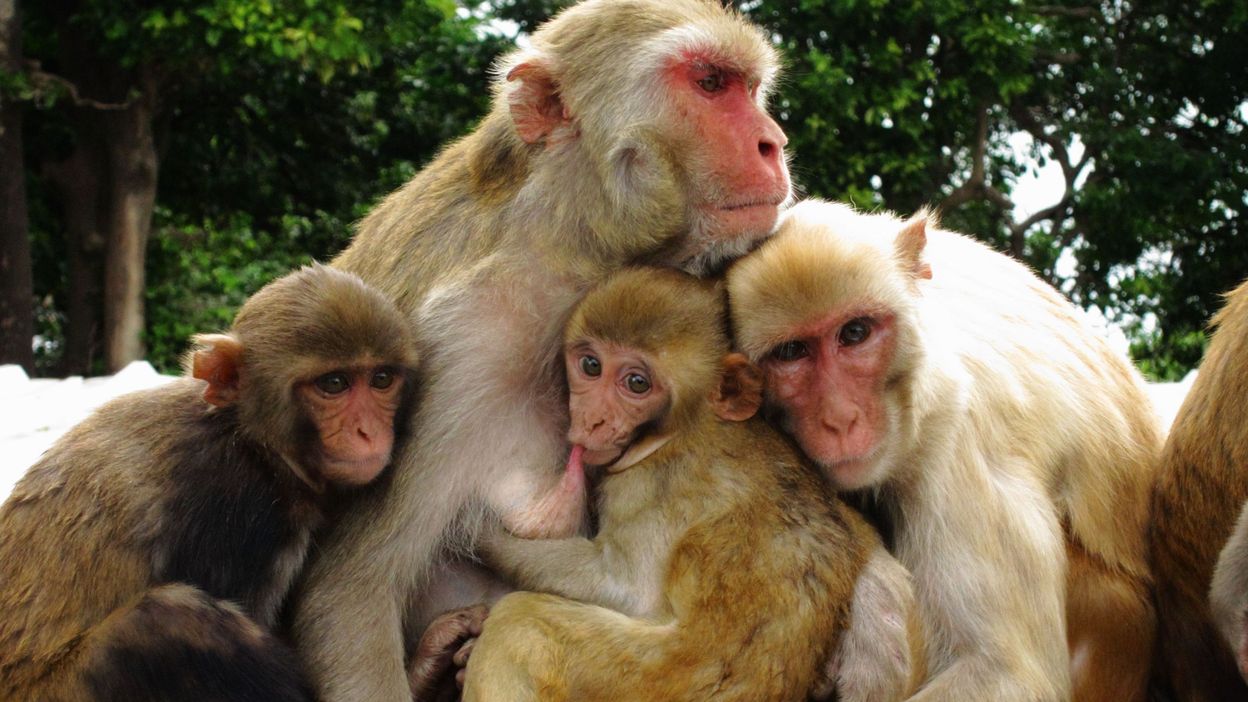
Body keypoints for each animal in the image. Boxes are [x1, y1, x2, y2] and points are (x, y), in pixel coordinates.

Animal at [0, 264, 472, 701]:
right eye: (334, 384)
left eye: (381, 379)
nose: (368, 432)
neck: (252, 442)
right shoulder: (238, 514)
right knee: (172, 619)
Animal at [458, 267, 924, 702]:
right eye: (591, 365)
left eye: (637, 383)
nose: (592, 420)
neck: (689, 425)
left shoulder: (647, 486)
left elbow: (623, 586)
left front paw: (479, 535)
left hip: (655, 679)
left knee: (521, 625)